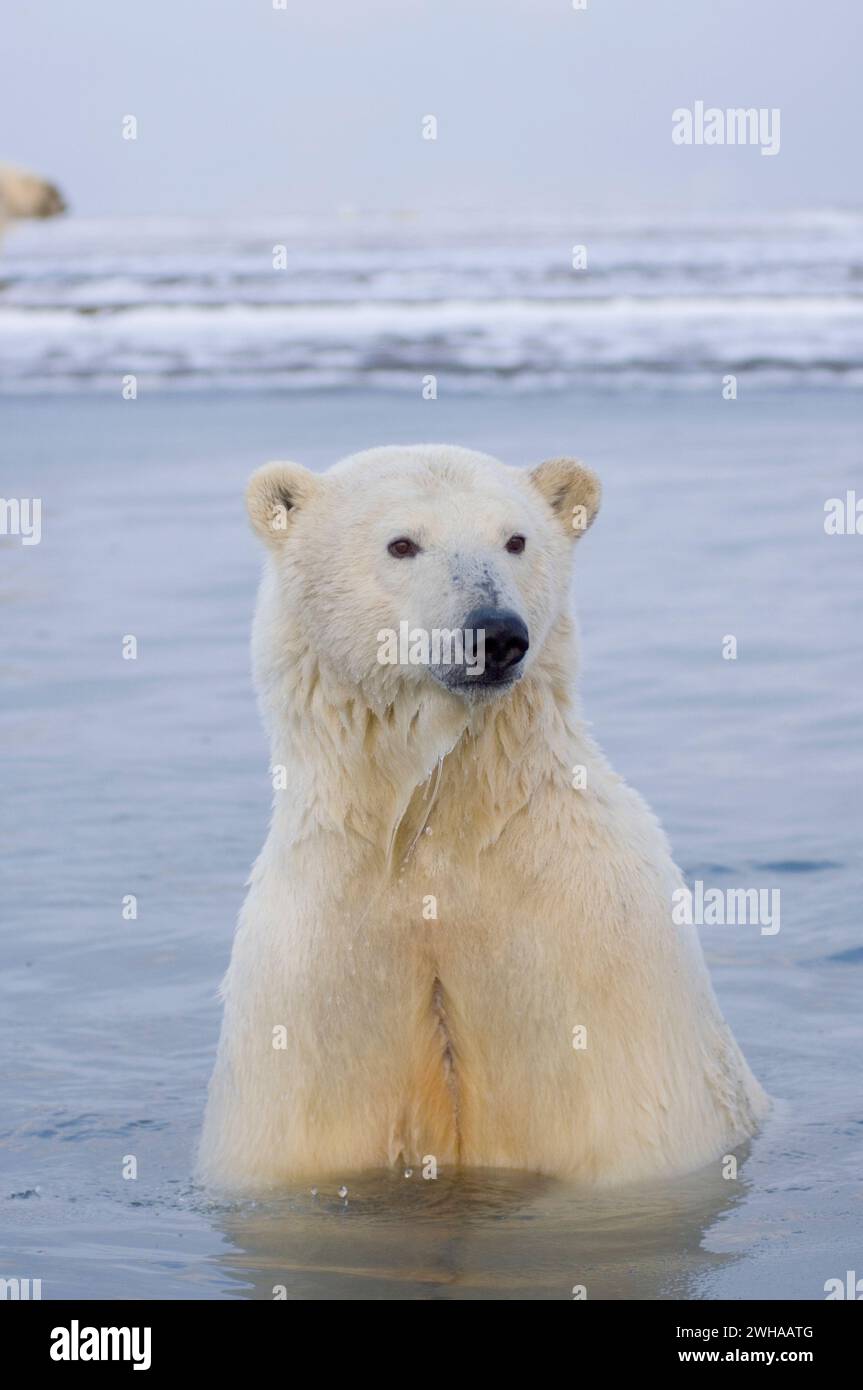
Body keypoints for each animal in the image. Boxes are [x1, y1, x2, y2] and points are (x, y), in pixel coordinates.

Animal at [197, 444, 768, 1191]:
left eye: (515, 539)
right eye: (402, 543)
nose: (494, 634)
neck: (445, 817)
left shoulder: (601, 961)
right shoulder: (311, 984)